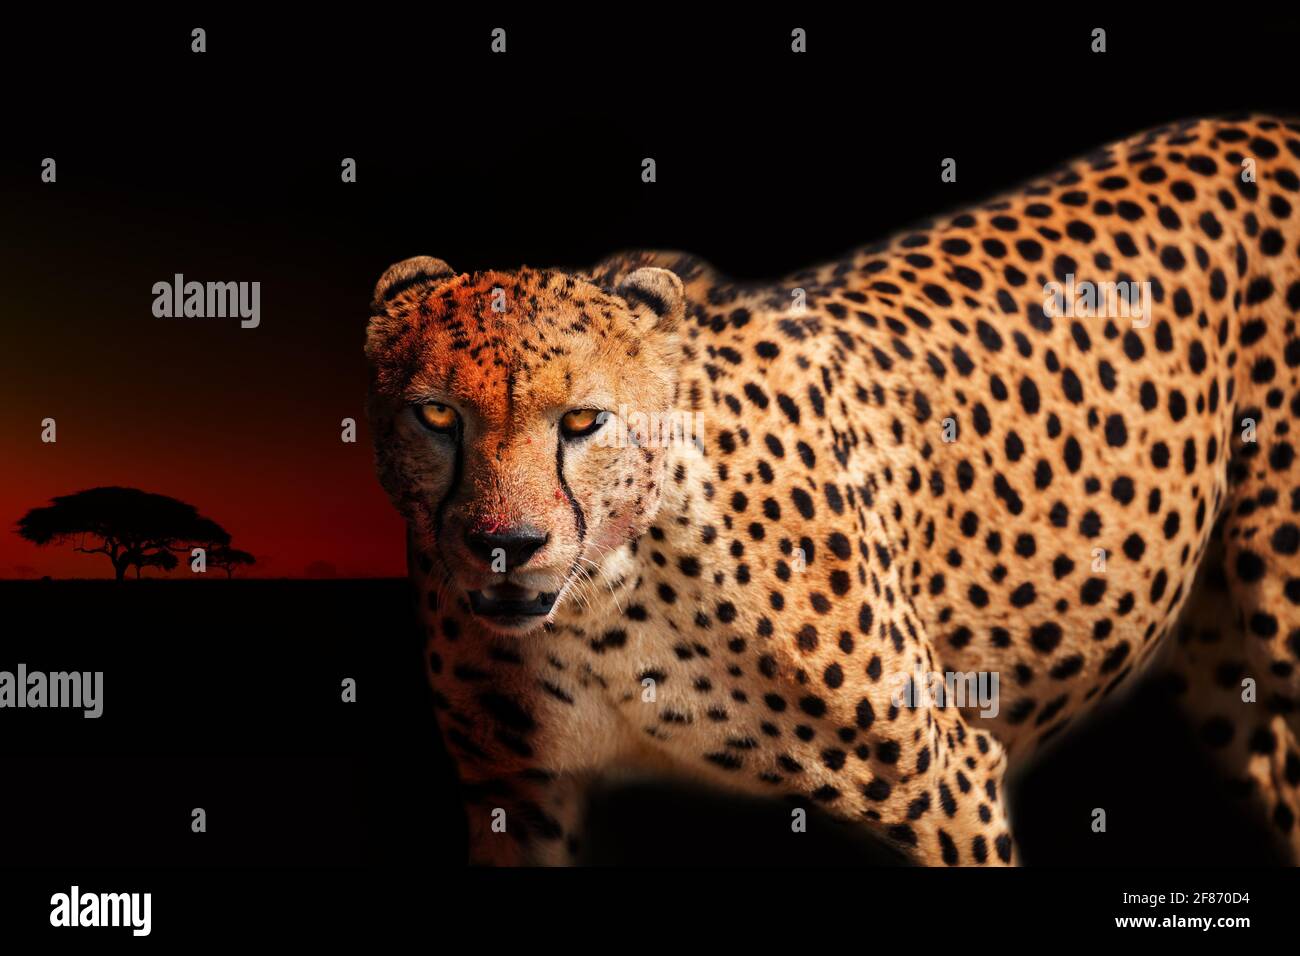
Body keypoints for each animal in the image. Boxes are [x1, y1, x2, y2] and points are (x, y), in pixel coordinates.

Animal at [364, 114, 1300, 865]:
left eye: (584, 421)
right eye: (438, 415)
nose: (506, 547)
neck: (605, 608)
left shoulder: (950, 786)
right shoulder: (518, 797)